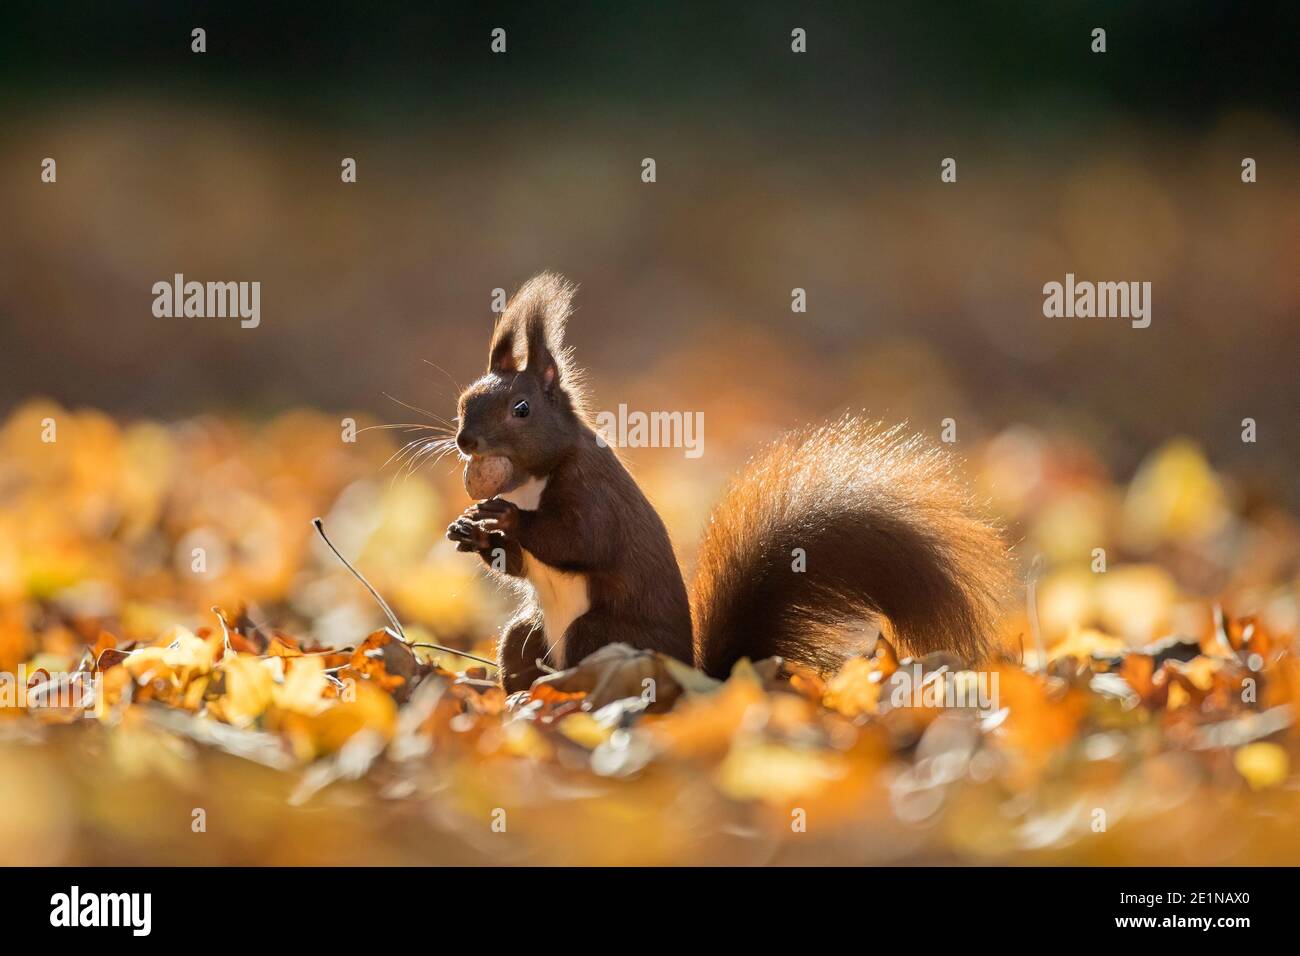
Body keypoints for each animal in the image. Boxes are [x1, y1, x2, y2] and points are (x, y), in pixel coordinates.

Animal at [446, 274, 1012, 693]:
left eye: (521, 409)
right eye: (465, 399)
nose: (466, 440)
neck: (531, 480)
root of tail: (693, 680)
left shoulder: (594, 494)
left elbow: (579, 540)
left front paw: (506, 517)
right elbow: (518, 564)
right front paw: (471, 532)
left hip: (600, 632)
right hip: (529, 634)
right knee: (521, 646)